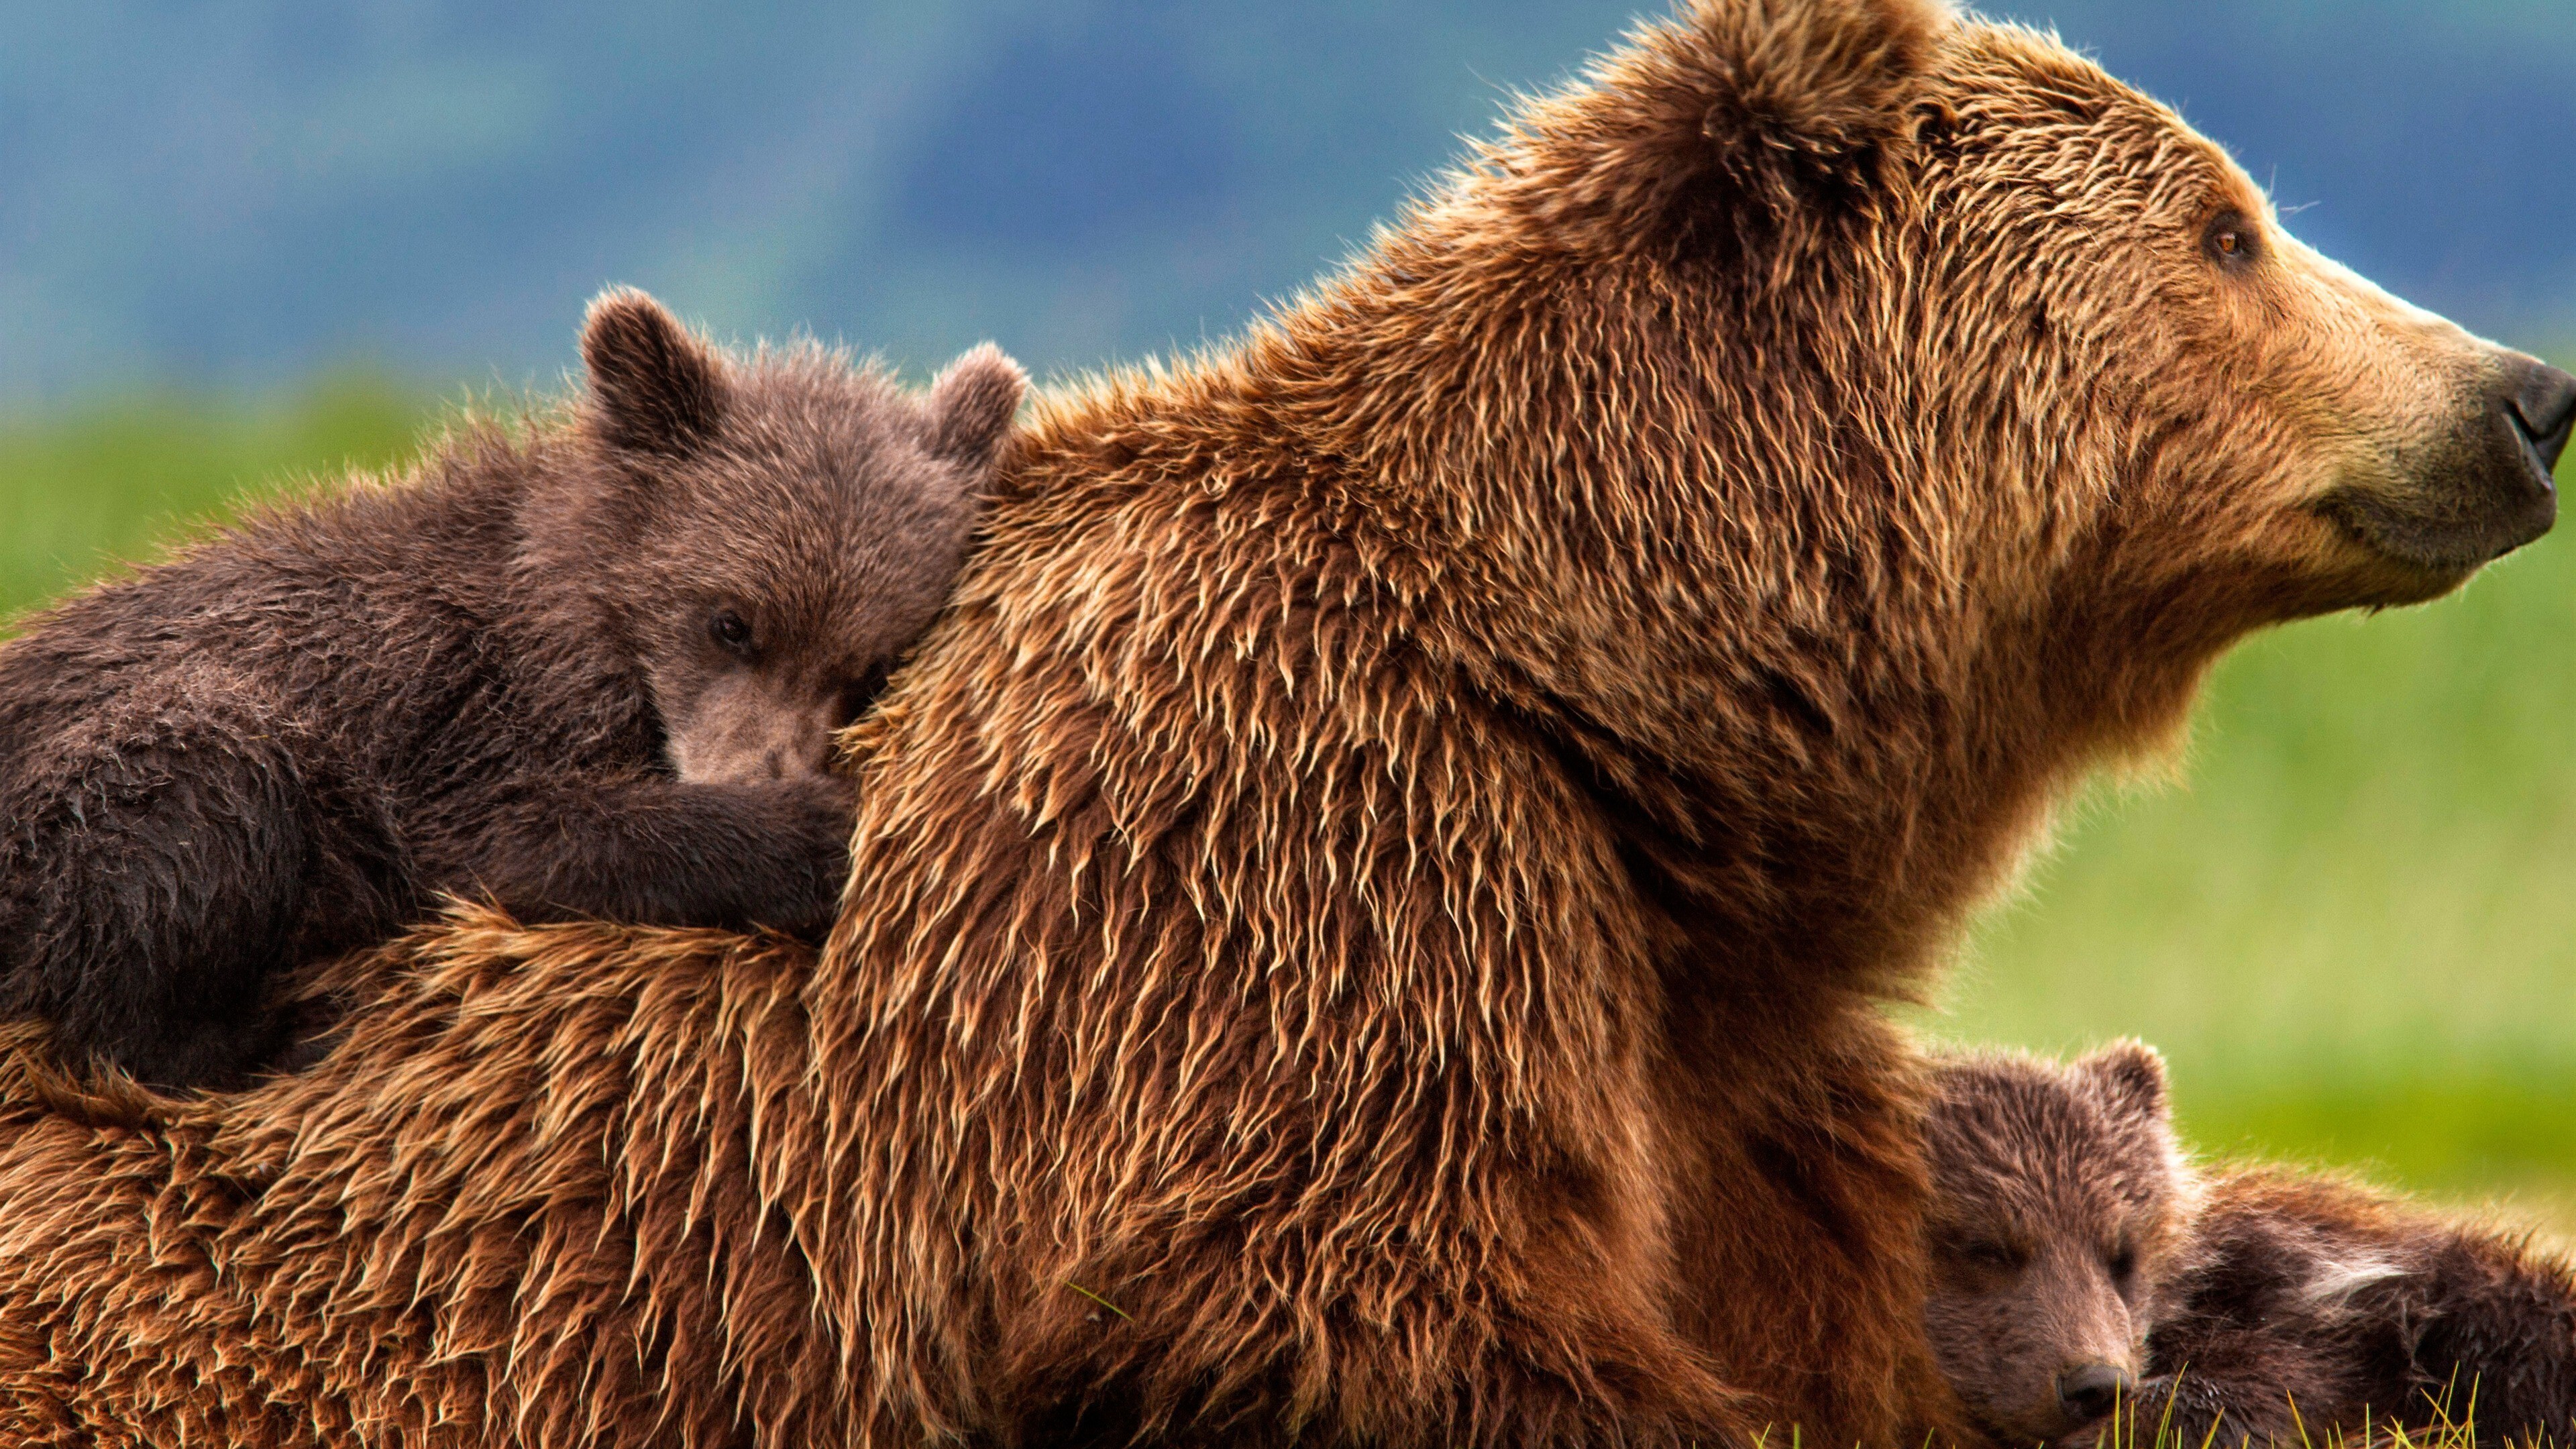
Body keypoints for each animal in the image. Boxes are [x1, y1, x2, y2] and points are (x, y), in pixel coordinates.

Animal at [0, 288, 1025, 1090]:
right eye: (731, 621)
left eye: (867, 666)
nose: (758, 772)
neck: (581, 606)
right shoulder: (458, 711)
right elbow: (520, 835)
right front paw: (811, 829)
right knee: (202, 794)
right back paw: (280, 1035)